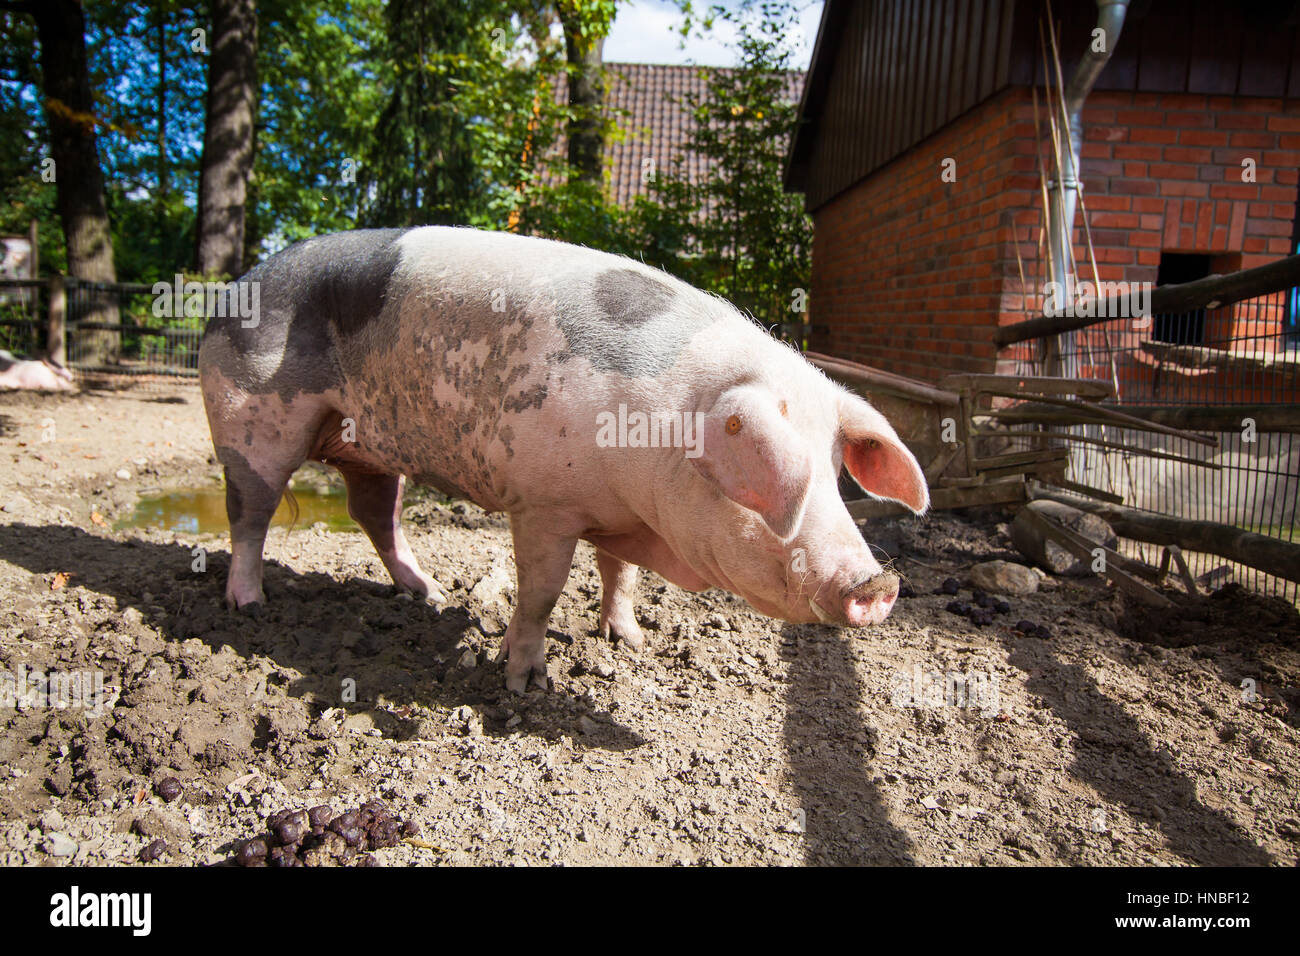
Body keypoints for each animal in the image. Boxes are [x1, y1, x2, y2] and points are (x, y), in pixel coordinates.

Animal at [199, 227, 928, 692]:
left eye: (835, 475)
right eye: (776, 482)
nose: (878, 584)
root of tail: (235, 287)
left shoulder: (620, 514)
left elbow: (619, 575)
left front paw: (630, 641)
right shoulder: (544, 503)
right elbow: (543, 591)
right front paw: (527, 683)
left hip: (370, 450)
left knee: (371, 513)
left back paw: (428, 593)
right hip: (250, 420)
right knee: (249, 514)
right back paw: (250, 607)